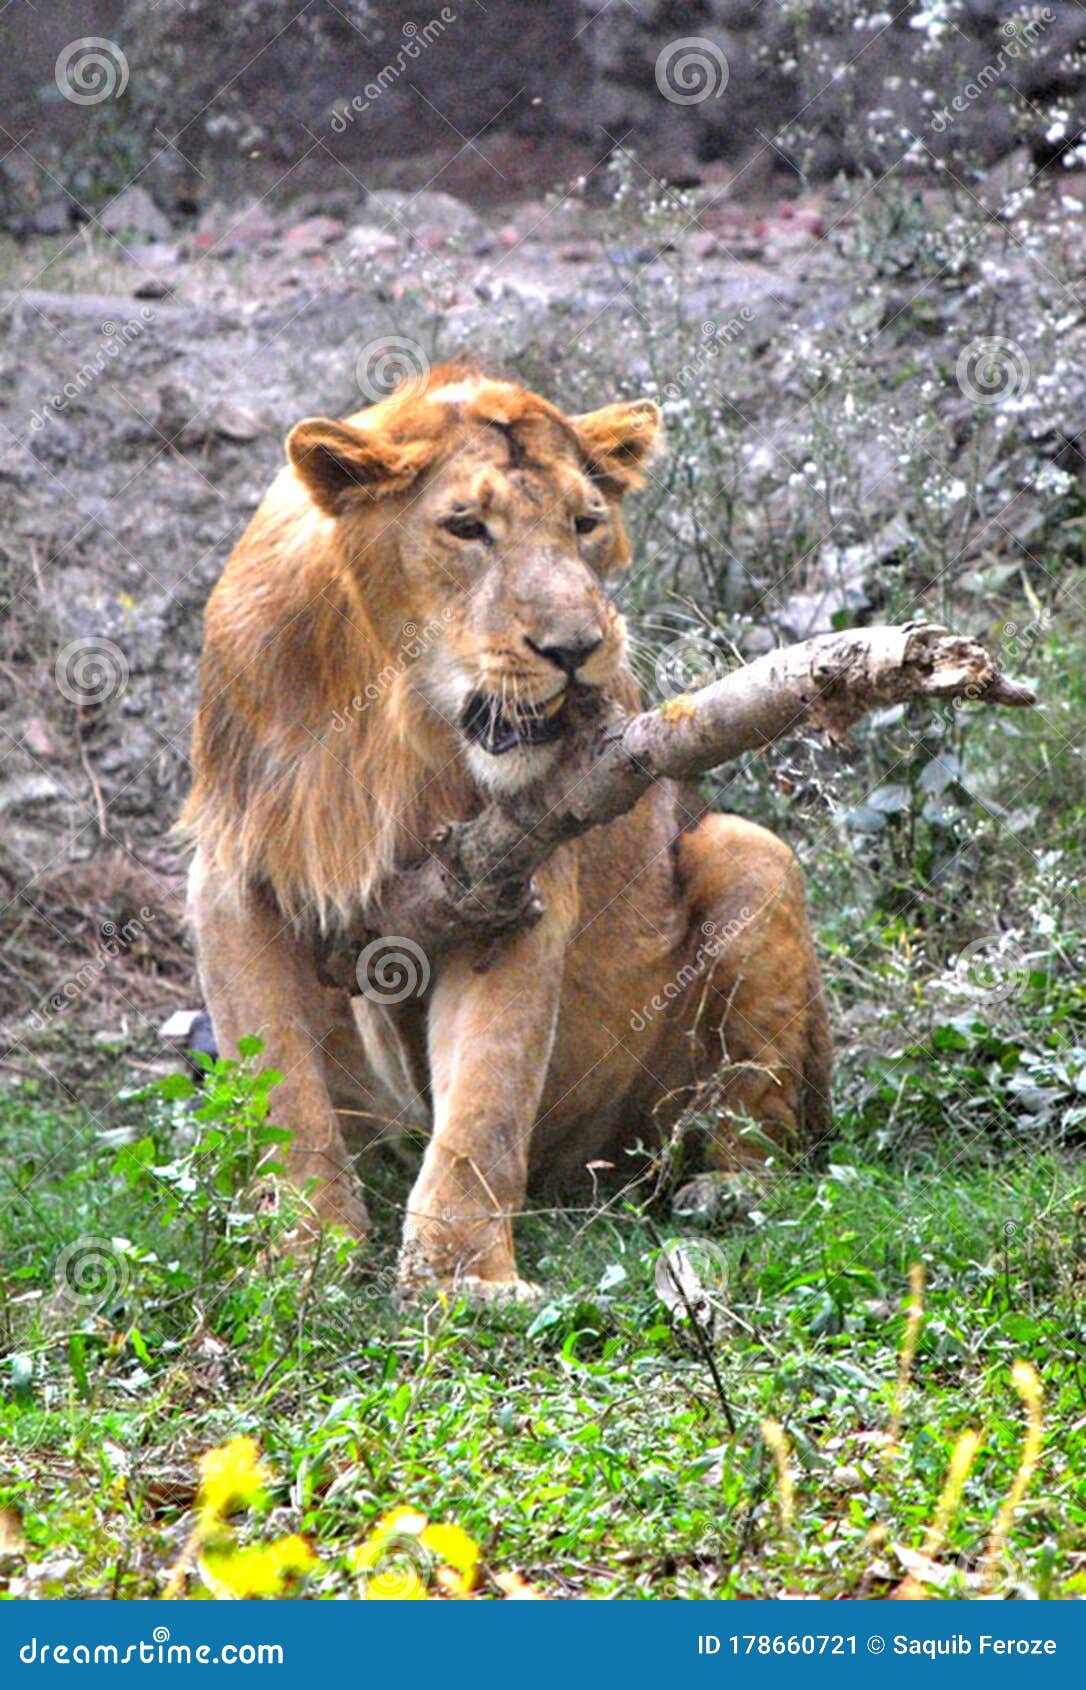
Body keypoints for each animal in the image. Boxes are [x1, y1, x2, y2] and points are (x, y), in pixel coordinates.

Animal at [178, 365, 831, 1298]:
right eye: (465, 527)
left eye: (585, 523)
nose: (575, 648)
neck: (394, 702)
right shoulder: (234, 872)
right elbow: (281, 1095)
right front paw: (300, 1257)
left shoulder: (506, 883)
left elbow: (488, 1095)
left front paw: (461, 1279)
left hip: (751, 853)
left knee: (764, 1127)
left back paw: (724, 1191)